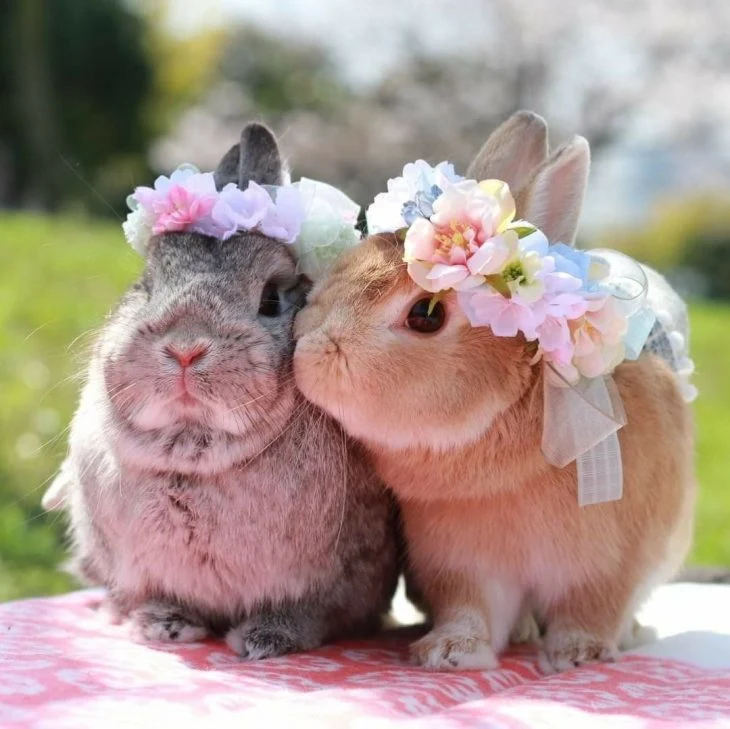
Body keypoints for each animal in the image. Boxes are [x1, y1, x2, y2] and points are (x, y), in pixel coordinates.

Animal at [48, 122, 399, 657]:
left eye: (272, 299)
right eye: (147, 285)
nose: (185, 348)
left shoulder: (339, 583)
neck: (196, 452)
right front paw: (165, 626)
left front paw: (265, 639)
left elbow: (312, 614)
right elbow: (149, 596)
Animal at [293, 111, 696, 672]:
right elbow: (472, 610)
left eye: (426, 315)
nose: (306, 352)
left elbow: (592, 607)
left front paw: (579, 655)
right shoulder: (461, 562)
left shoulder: (609, 559)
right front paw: (450, 652)